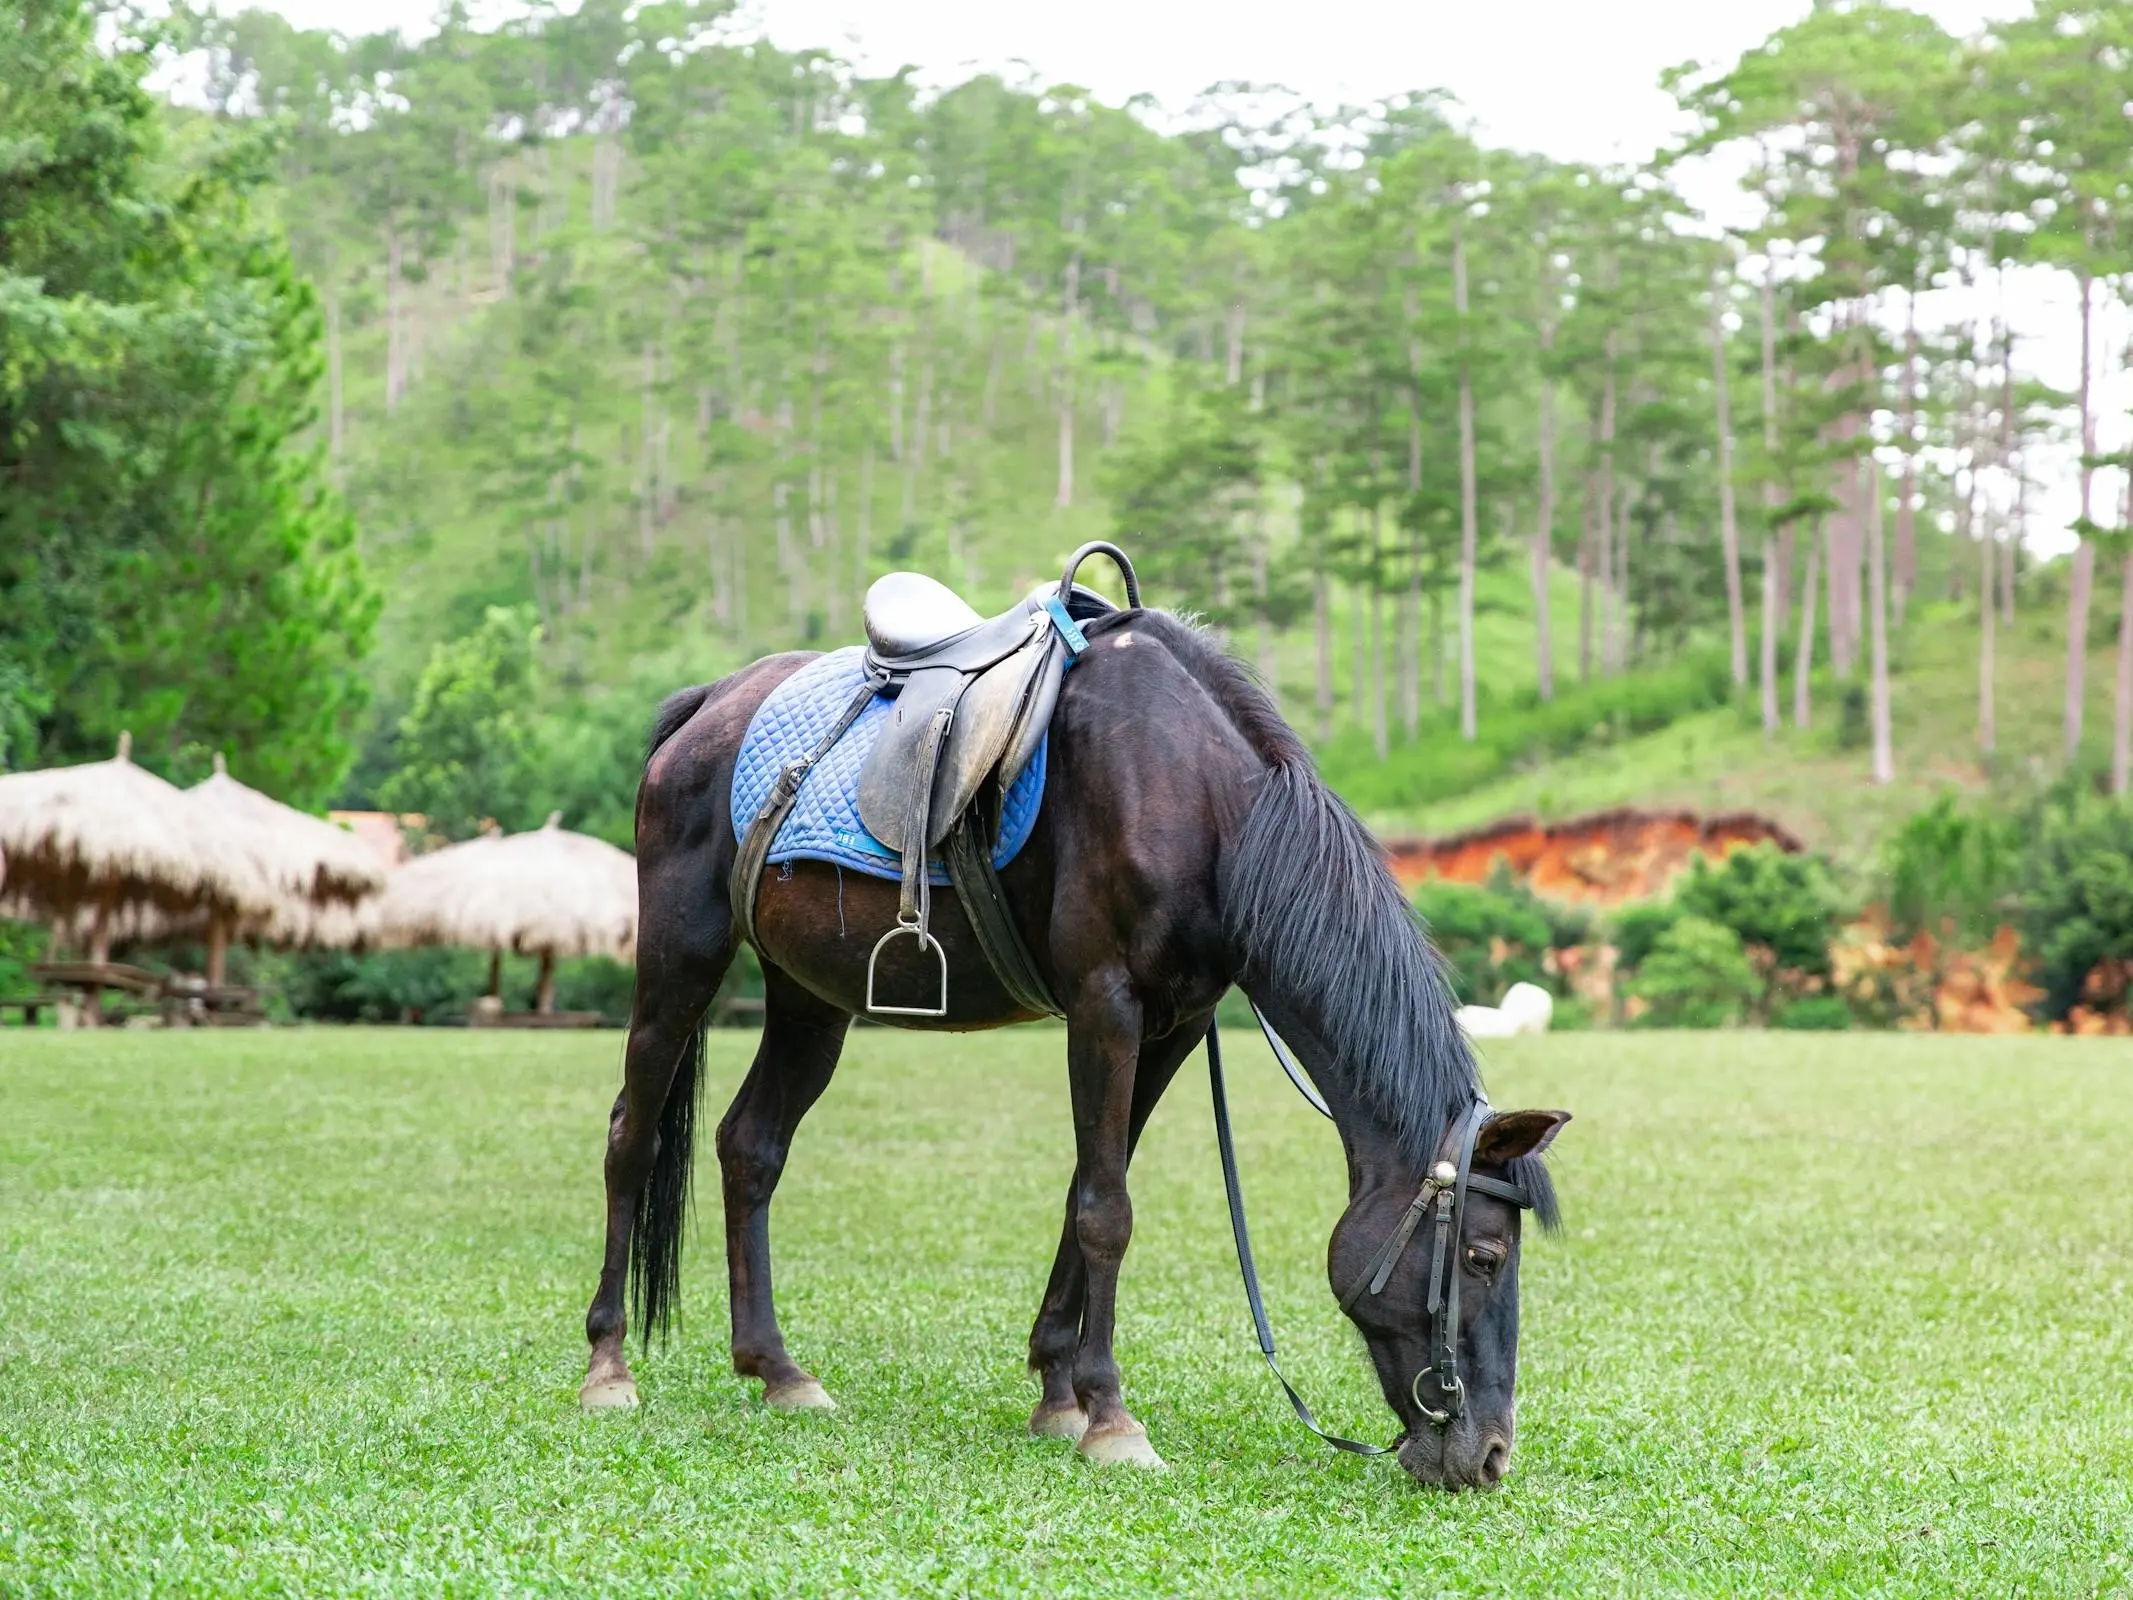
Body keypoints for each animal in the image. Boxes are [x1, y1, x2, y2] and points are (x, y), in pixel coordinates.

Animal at [578, 569, 1570, 1490]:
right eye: (1483, 1256)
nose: (1487, 1455)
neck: (1203, 803)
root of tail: (710, 702)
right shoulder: (1104, 1005)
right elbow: (1106, 1210)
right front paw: (1110, 1415)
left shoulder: (1173, 1025)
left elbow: (1086, 1191)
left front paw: (1059, 1395)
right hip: (680, 957)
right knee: (631, 1135)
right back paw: (608, 1365)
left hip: (809, 997)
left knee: (750, 1147)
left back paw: (777, 1370)